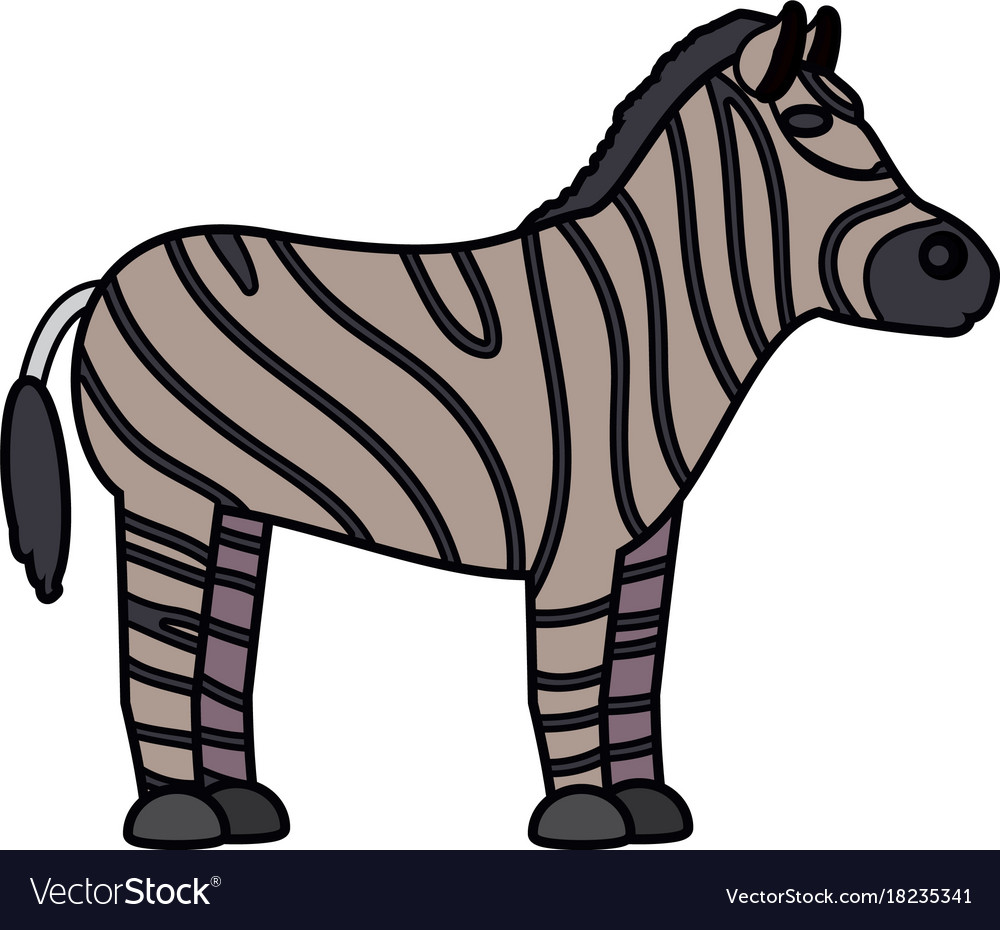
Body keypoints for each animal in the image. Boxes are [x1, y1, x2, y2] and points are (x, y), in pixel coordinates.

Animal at [2, 2, 996, 850]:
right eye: (812, 125)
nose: (964, 268)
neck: (649, 306)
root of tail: (105, 278)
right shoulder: (577, 540)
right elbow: (568, 674)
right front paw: (585, 819)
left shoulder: (647, 539)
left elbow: (635, 667)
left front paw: (649, 808)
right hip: (166, 495)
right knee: (160, 646)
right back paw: (179, 819)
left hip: (237, 506)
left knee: (222, 649)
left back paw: (243, 810)